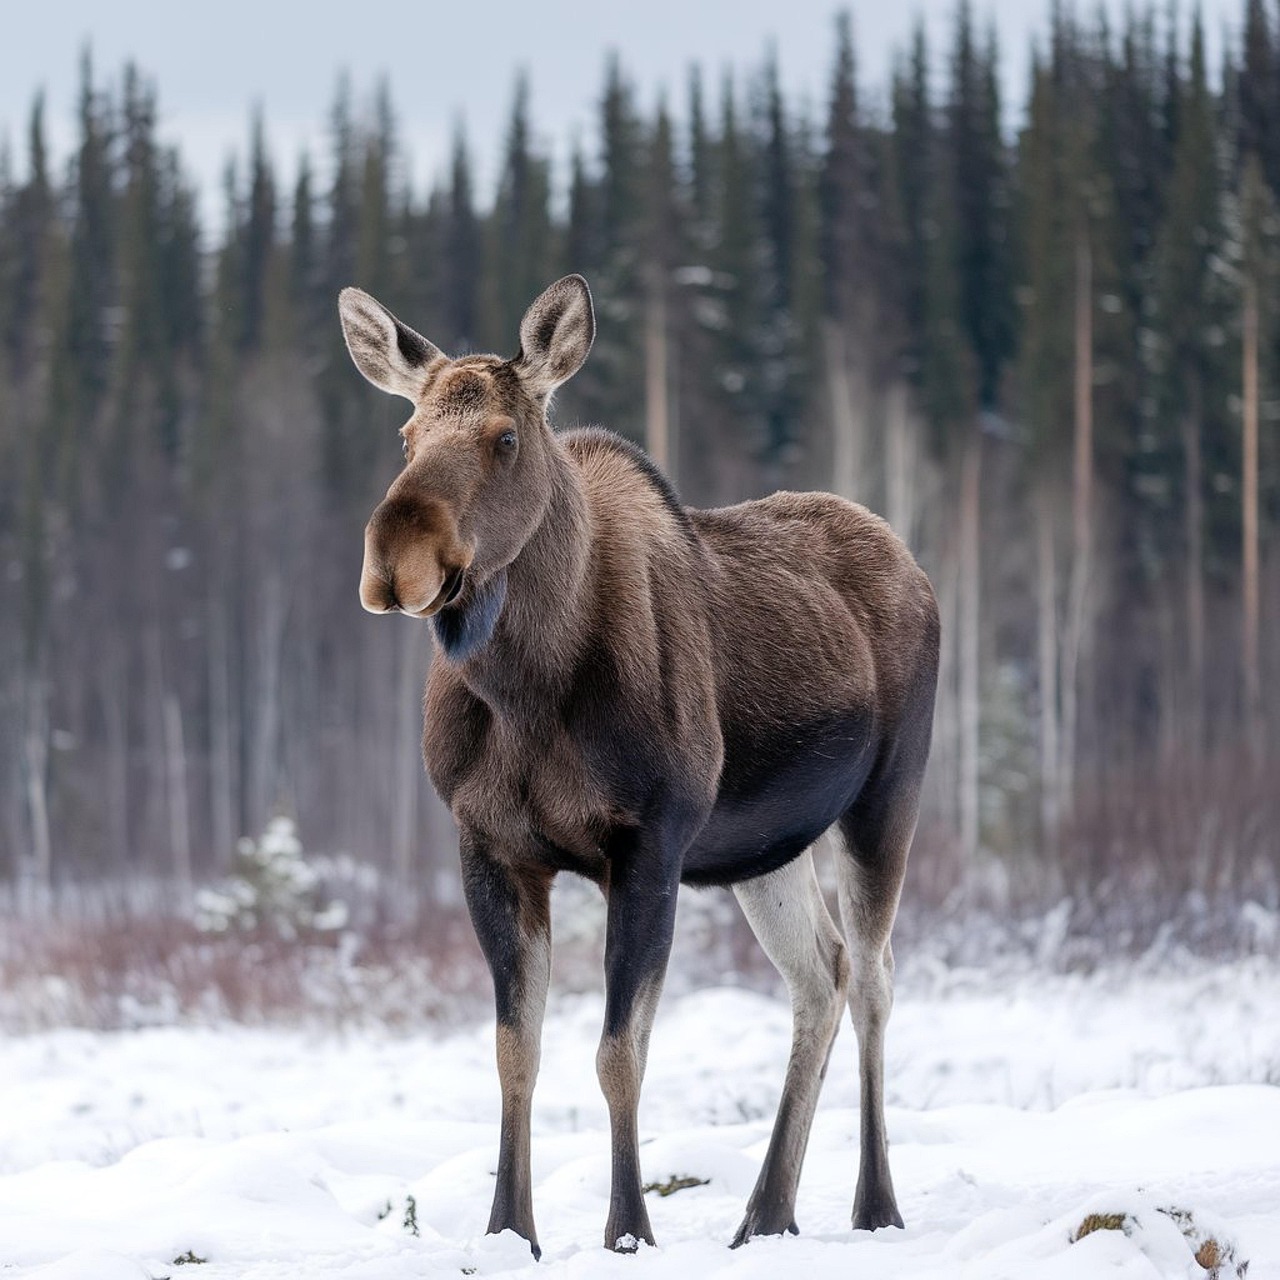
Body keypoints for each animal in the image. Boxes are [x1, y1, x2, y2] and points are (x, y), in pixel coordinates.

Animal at [337, 274, 940, 1257]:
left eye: (505, 437)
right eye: (406, 435)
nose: (397, 557)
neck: (527, 694)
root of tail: (914, 566)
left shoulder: (648, 842)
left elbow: (621, 1052)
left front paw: (629, 1230)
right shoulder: (491, 846)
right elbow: (516, 1050)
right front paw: (511, 1230)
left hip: (888, 798)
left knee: (878, 979)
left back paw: (874, 1205)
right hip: (767, 848)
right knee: (824, 975)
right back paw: (766, 1214)